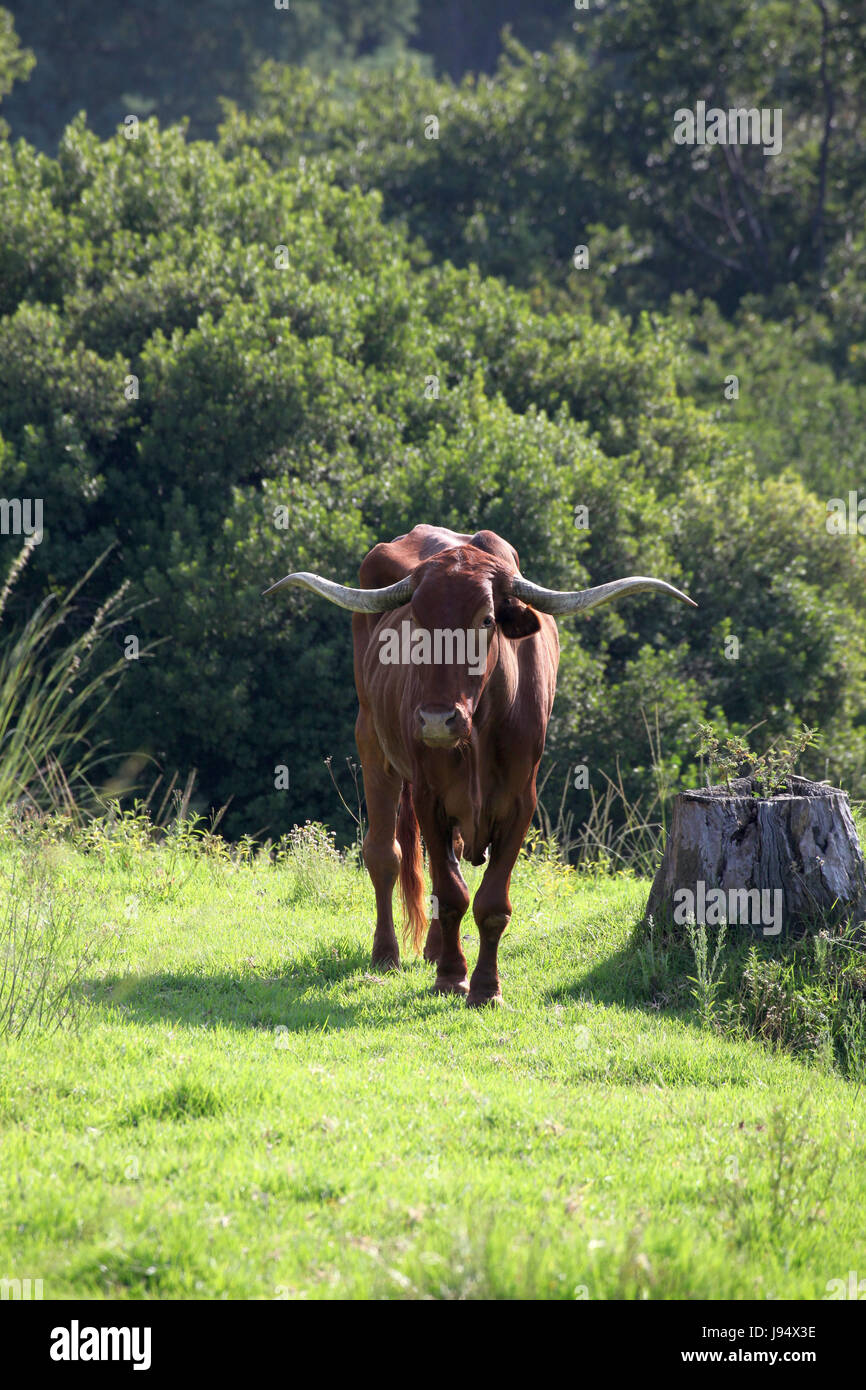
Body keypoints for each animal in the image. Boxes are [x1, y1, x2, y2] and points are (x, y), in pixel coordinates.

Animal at [265, 525, 695, 1006]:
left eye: (485, 620)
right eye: (418, 620)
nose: (436, 720)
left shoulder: (521, 803)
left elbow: (490, 903)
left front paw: (486, 988)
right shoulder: (429, 797)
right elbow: (451, 893)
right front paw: (452, 978)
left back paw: (434, 949)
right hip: (373, 746)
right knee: (385, 855)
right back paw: (386, 954)